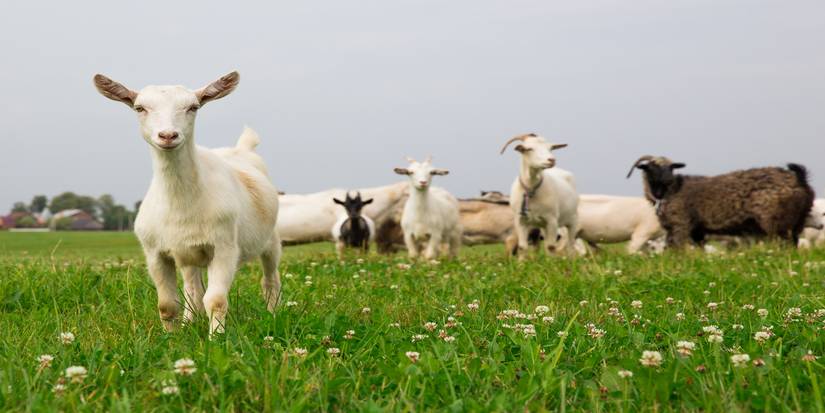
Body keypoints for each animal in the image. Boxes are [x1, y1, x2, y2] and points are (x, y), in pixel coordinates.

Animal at [94, 72, 281, 336]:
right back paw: (188, 322)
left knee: (270, 279)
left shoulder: (224, 247)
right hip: (187, 254)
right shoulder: (155, 253)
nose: (168, 135)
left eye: (193, 107)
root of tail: (241, 150)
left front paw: (216, 339)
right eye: (140, 108)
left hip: (271, 239)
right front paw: (171, 338)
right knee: (193, 289)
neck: (181, 202)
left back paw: (273, 314)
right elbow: (167, 304)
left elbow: (216, 300)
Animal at [627, 155, 814, 248]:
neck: (673, 190)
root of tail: (799, 179)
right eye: (650, 167)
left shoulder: (680, 225)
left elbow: (676, 251)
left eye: (672, 167)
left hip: (776, 222)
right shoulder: (696, 230)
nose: (666, 180)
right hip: (797, 222)